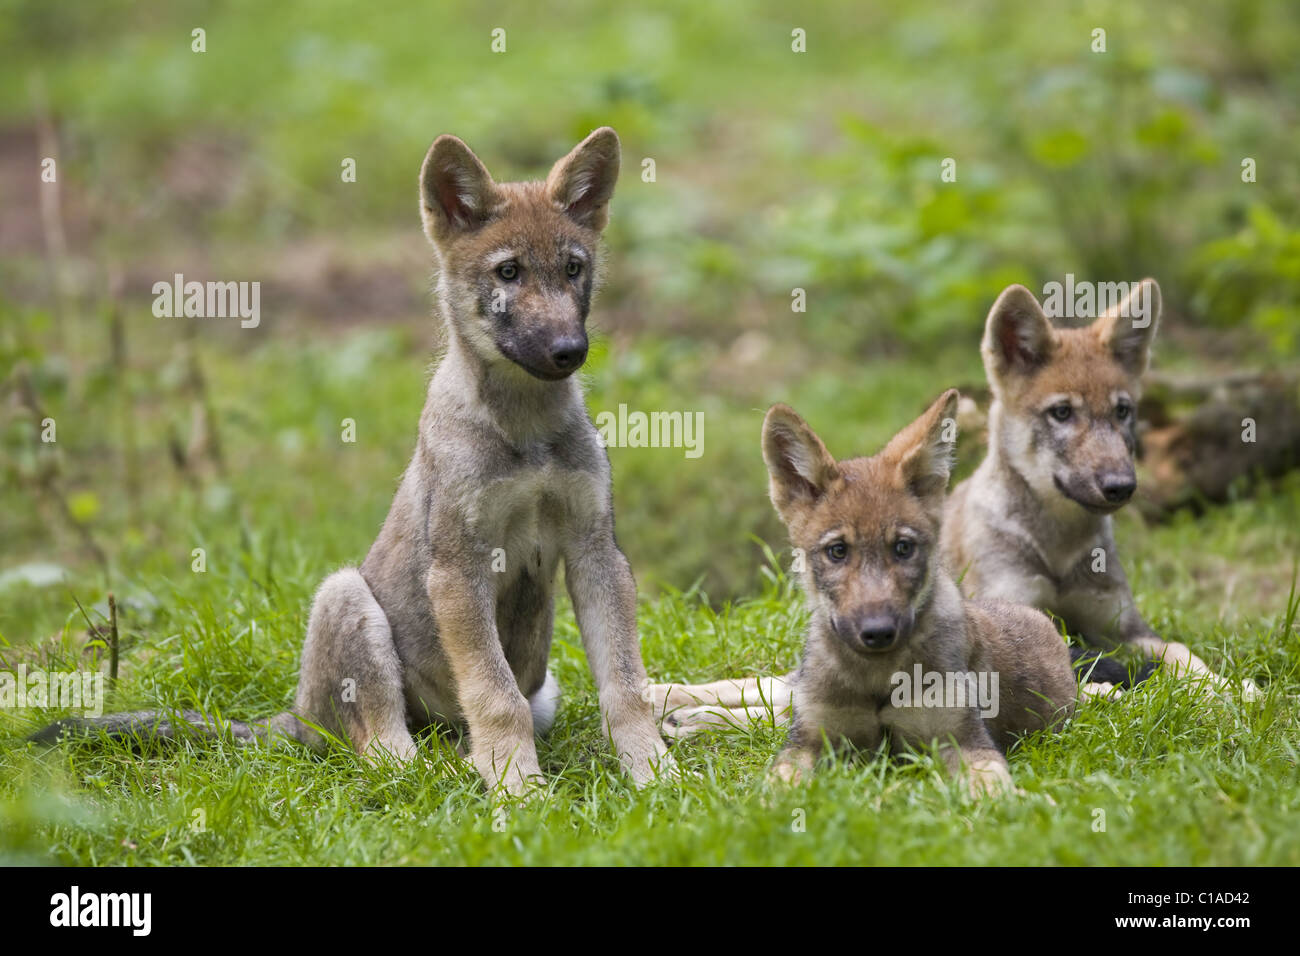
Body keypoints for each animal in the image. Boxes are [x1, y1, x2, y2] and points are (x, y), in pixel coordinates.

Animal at [32, 128, 673, 796]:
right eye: (509, 271)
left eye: (574, 268)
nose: (569, 351)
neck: (526, 429)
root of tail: (295, 717)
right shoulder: (459, 566)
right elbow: (497, 697)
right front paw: (517, 789)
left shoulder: (595, 550)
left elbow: (626, 687)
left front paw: (653, 773)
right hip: (345, 597)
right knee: (384, 751)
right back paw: (450, 769)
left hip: (542, 688)